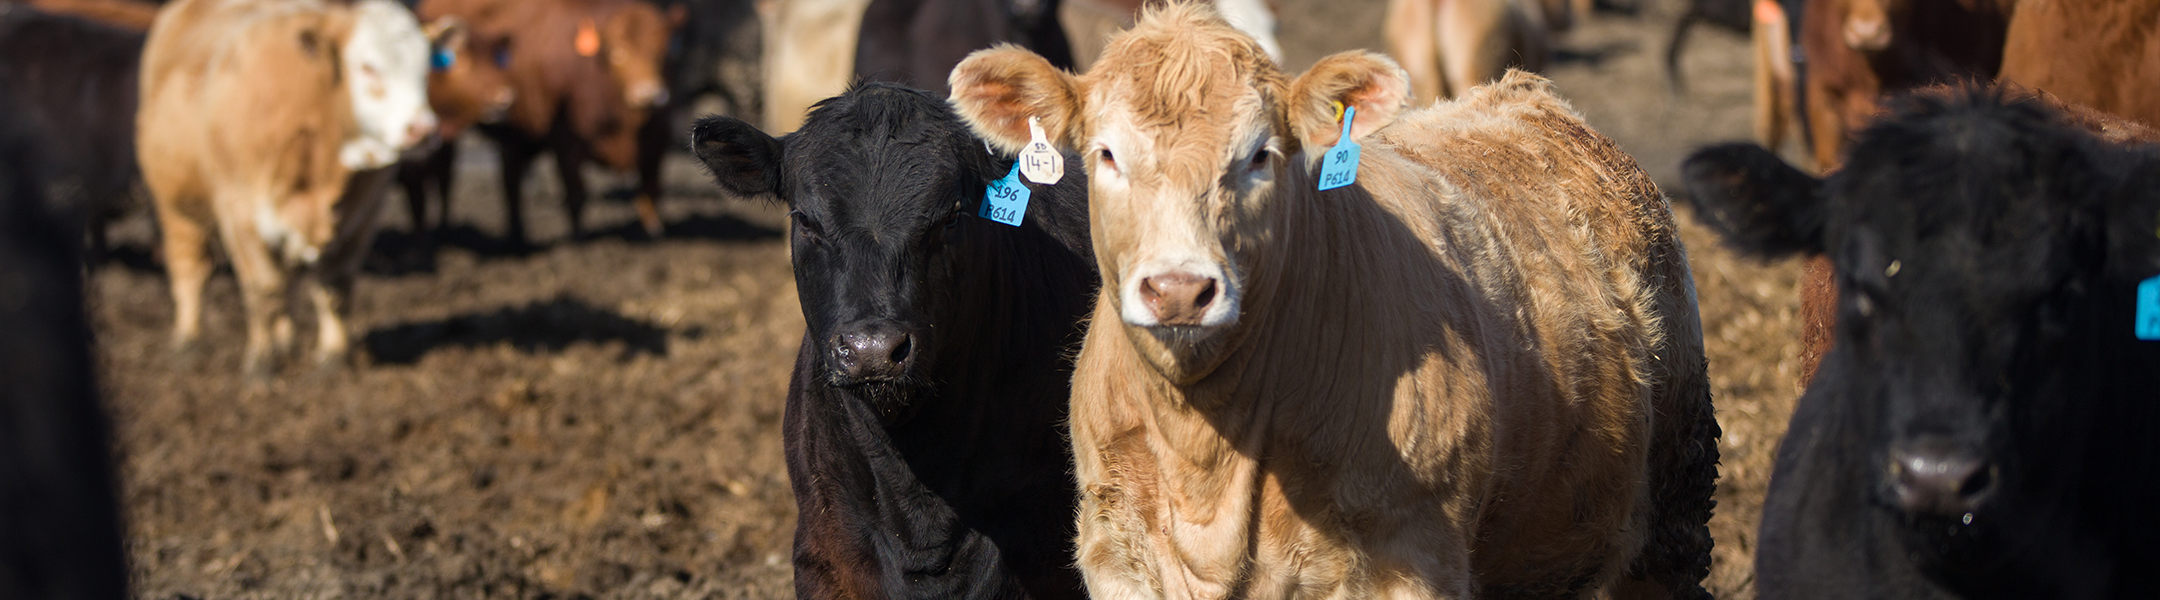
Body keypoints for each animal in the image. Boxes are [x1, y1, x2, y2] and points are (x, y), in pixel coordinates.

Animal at [138, 0, 439, 375]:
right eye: (367, 67)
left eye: (426, 68)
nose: (423, 129)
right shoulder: (241, 213)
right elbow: (263, 289)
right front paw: (261, 363)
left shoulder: (365, 214)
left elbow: (335, 285)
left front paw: (332, 357)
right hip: (176, 207)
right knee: (191, 270)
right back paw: (188, 343)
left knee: (289, 282)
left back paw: (288, 342)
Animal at [949, 5, 1719, 598]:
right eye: (1106, 154)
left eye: (1260, 154)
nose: (1178, 290)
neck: (1205, 460)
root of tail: (1526, 97)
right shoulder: (1119, 557)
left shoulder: (1410, 556)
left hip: (1676, 512)